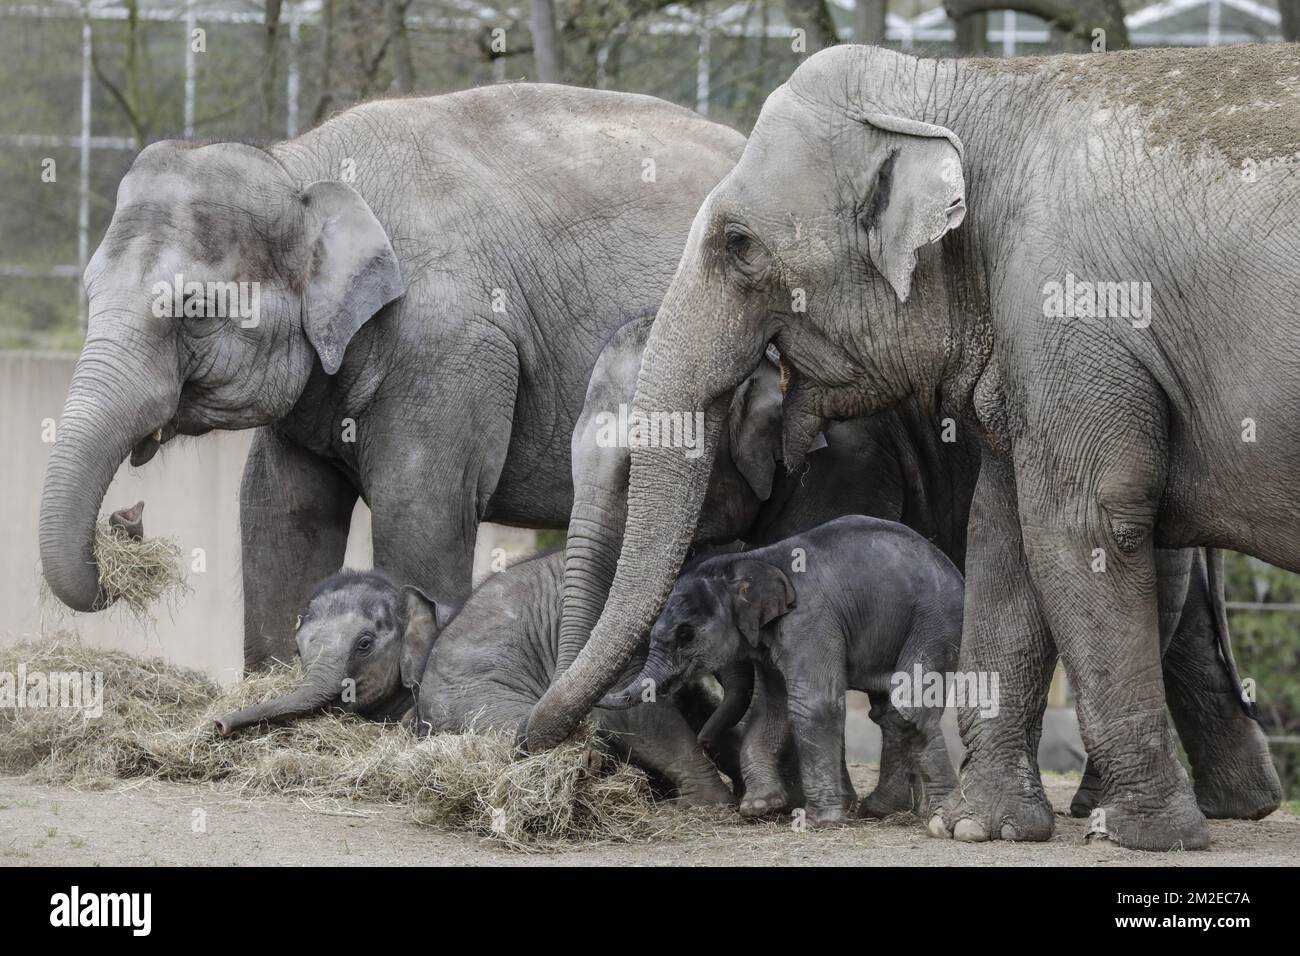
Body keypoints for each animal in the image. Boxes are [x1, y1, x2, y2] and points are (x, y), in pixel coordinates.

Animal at [37, 84, 744, 671]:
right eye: (89, 292)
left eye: (193, 310)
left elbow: (418, 513)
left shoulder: (449, 347)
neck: (298, 166)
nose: (127, 520)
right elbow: (279, 509)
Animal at [600, 515, 964, 827]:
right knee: (889, 710)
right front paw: (758, 807)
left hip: (935, 622)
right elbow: (772, 706)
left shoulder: (810, 622)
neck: (753, 560)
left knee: (908, 704)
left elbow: (812, 703)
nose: (703, 738)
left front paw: (817, 821)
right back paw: (881, 810)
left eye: (685, 635)